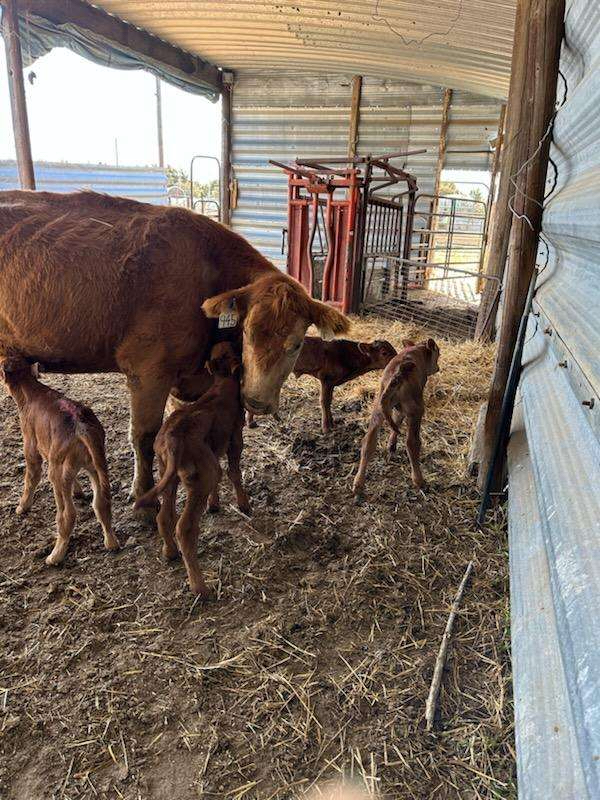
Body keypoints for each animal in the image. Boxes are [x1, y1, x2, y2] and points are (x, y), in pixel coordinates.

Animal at [0, 191, 349, 505]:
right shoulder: (148, 369)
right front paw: (144, 496)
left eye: (297, 344)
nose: (256, 401)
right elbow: (144, 436)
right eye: (248, 332)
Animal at [0, 356, 119, 565]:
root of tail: (81, 426)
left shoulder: (30, 445)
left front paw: (21, 507)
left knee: (67, 514)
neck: (29, 390)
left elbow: (30, 477)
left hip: (56, 471)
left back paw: (55, 556)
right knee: (102, 503)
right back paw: (111, 542)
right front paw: (78, 491)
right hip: (95, 465)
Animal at [134, 342, 248, 596]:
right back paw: (200, 588)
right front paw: (244, 504)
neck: (221, 381)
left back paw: (170, 553)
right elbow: (234, 471)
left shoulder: (215, 446)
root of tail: (172, 440)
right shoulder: (235, 434)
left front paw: (214, 504)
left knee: (164, 516)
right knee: (184, 528)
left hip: (168, 475)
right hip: (200, 477)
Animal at [246, 337, 397, 433]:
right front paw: (325, 427)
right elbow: (324, 401)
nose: (397, 360)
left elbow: (329, 401)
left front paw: (332, 423)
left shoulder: (331, 383)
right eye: (384, 352)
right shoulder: (326, 379)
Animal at [352, 339, 440, 496]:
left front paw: (391, 445)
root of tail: (398, 373)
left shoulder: (396, 407)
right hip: (415, 410)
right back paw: (419, 481)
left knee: (368, 442)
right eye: (438, 353)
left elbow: (396, 420)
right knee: (412, 443)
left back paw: (358, 484)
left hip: (378, 407)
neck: (418, 350)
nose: (437, 367)